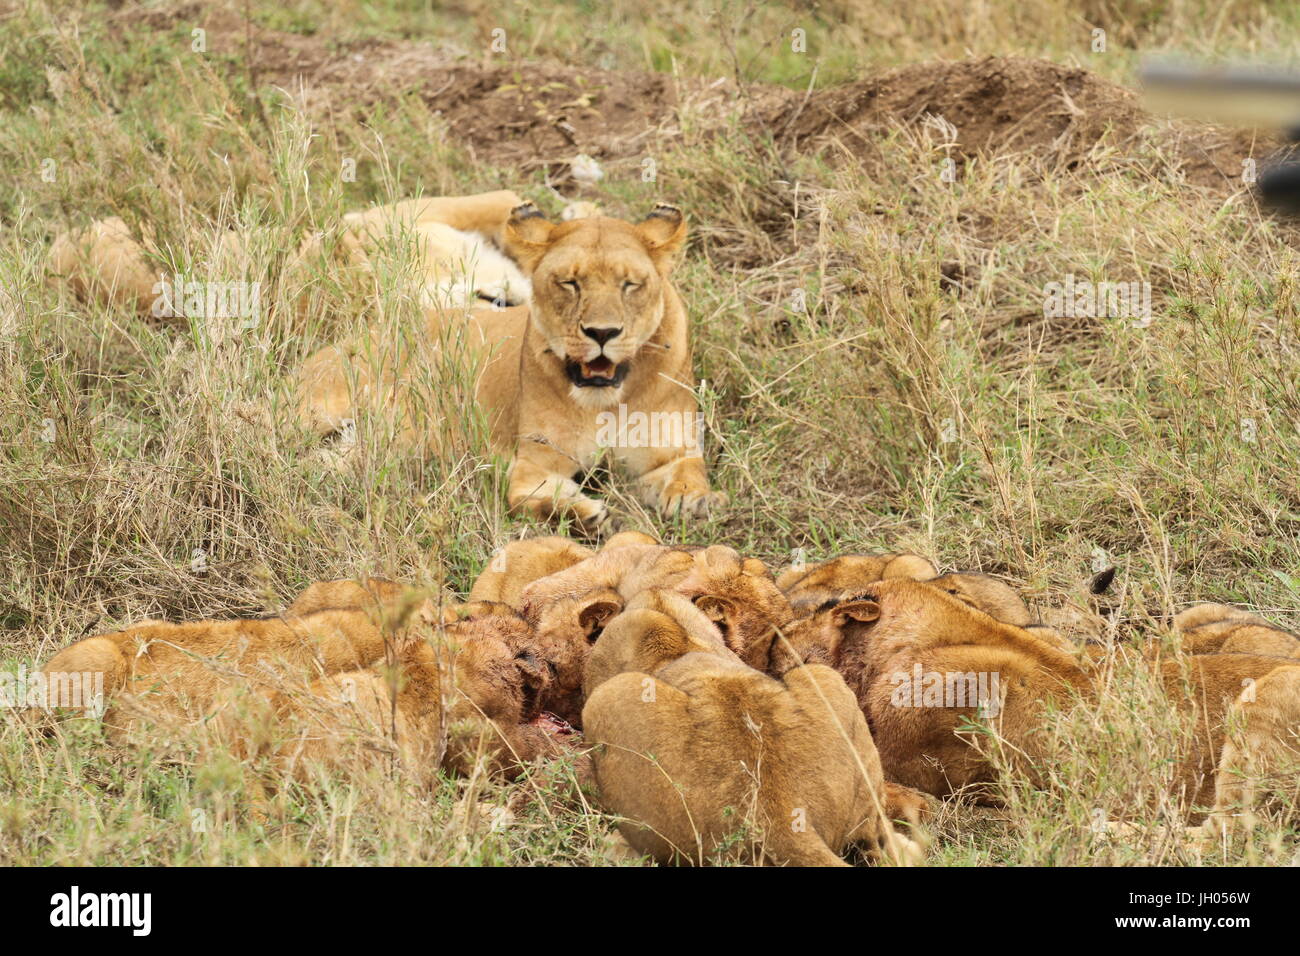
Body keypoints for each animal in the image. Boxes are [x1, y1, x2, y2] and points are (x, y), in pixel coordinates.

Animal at [296, 202, 724, 531]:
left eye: (630, 284)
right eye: (569, 283)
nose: (602, 332)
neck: (605, 401)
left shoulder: (671, 455)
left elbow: (688, 475)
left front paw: (694, 504)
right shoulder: (531, 467)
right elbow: (530, 499)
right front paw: (585, 516)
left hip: (355, 456)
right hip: (313, 411)